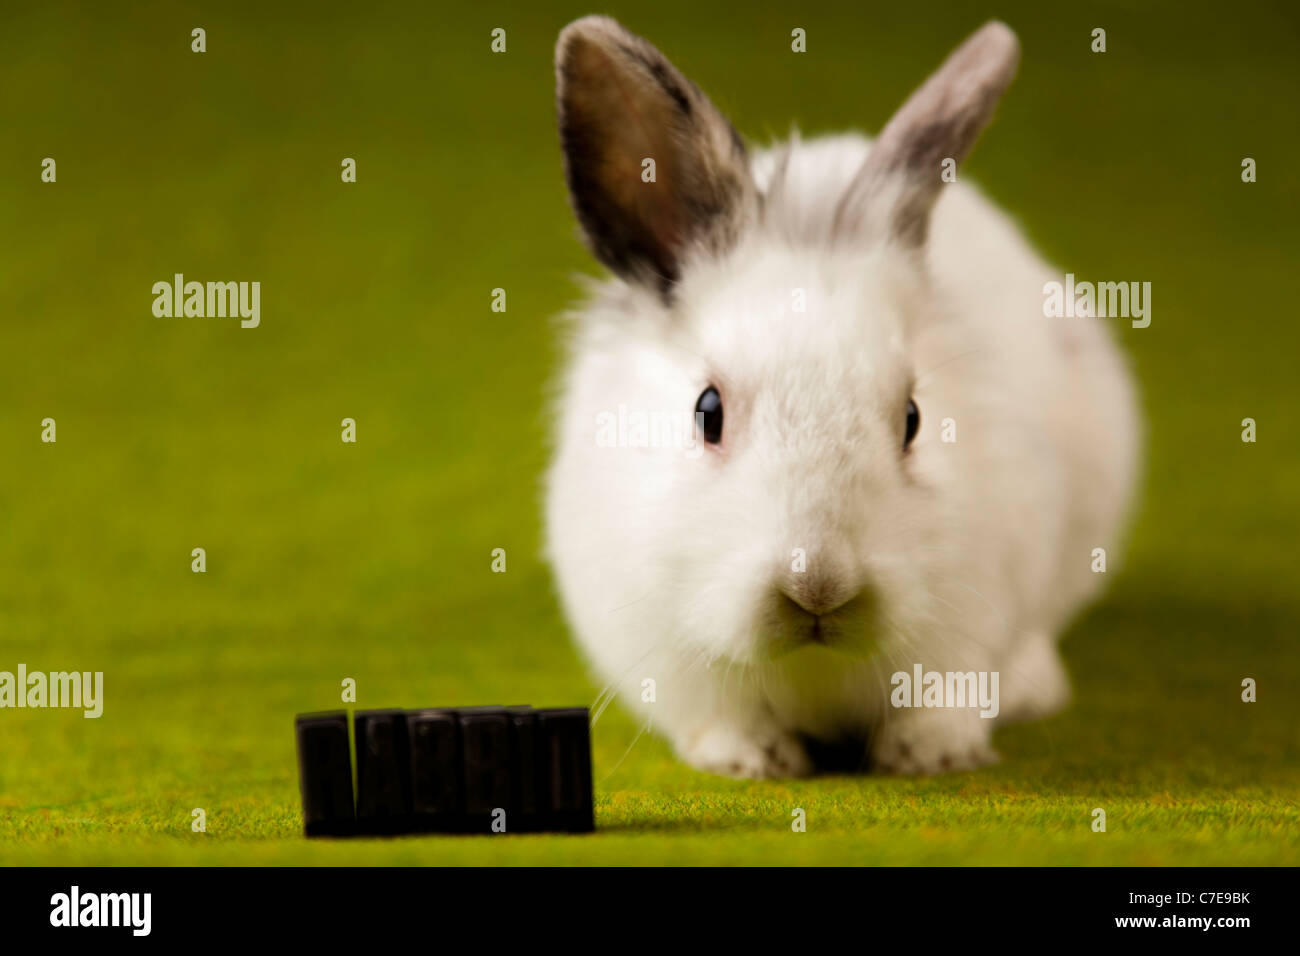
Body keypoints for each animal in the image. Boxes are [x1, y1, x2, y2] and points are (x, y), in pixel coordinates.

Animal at [544, 16, 1140, 777]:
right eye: (708, 412)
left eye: (914, 419)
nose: (818, 588)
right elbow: (722, 716)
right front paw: (754, 761)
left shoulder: (971, 625)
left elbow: (943, 698)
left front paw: (927, 755)